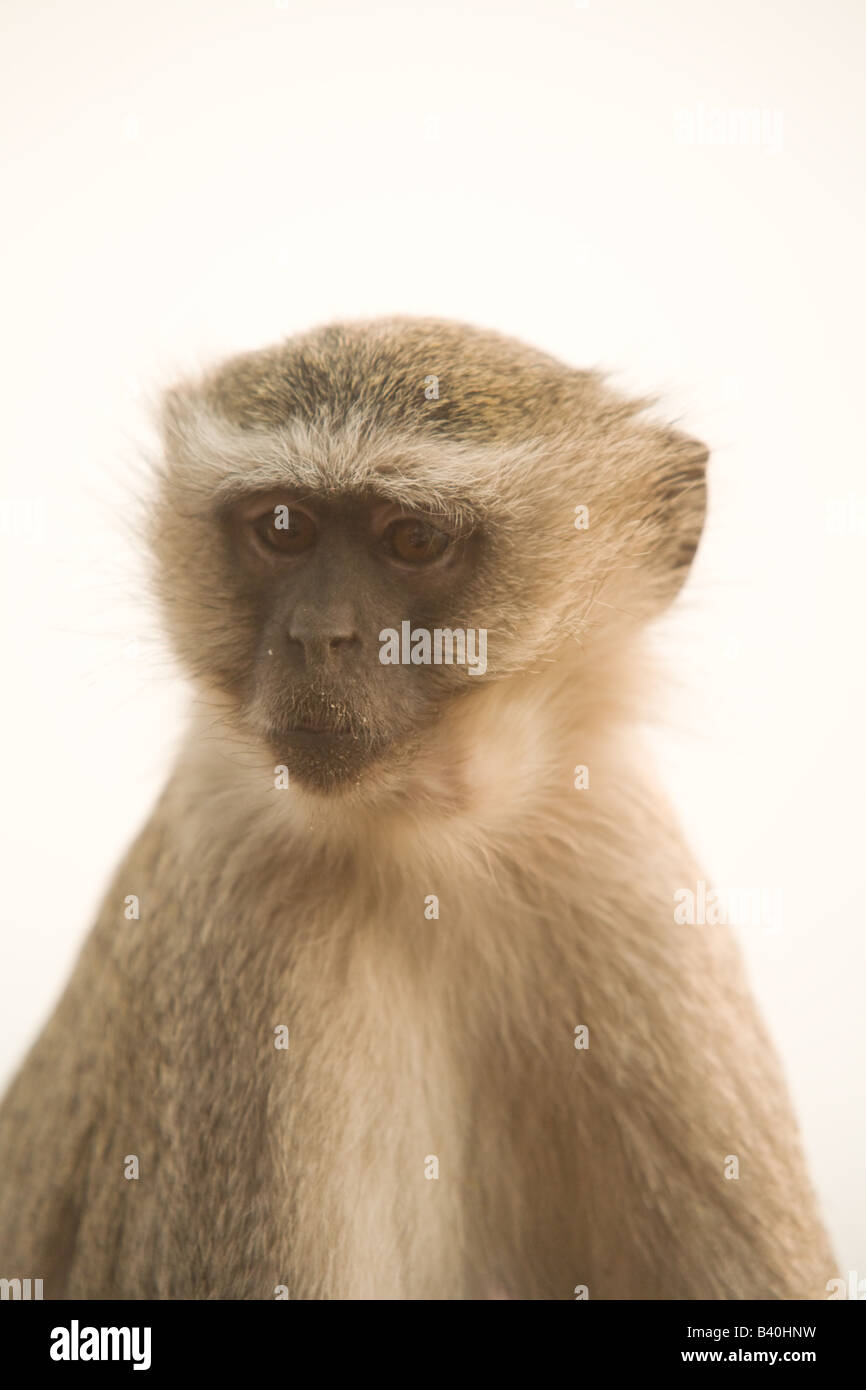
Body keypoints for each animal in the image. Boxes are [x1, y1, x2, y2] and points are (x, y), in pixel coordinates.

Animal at [0, 317, 834, 1300]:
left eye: (411, 539)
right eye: (283, 528)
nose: (318, 635)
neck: (431, 854)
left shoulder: (631, 878)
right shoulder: (242, 943)